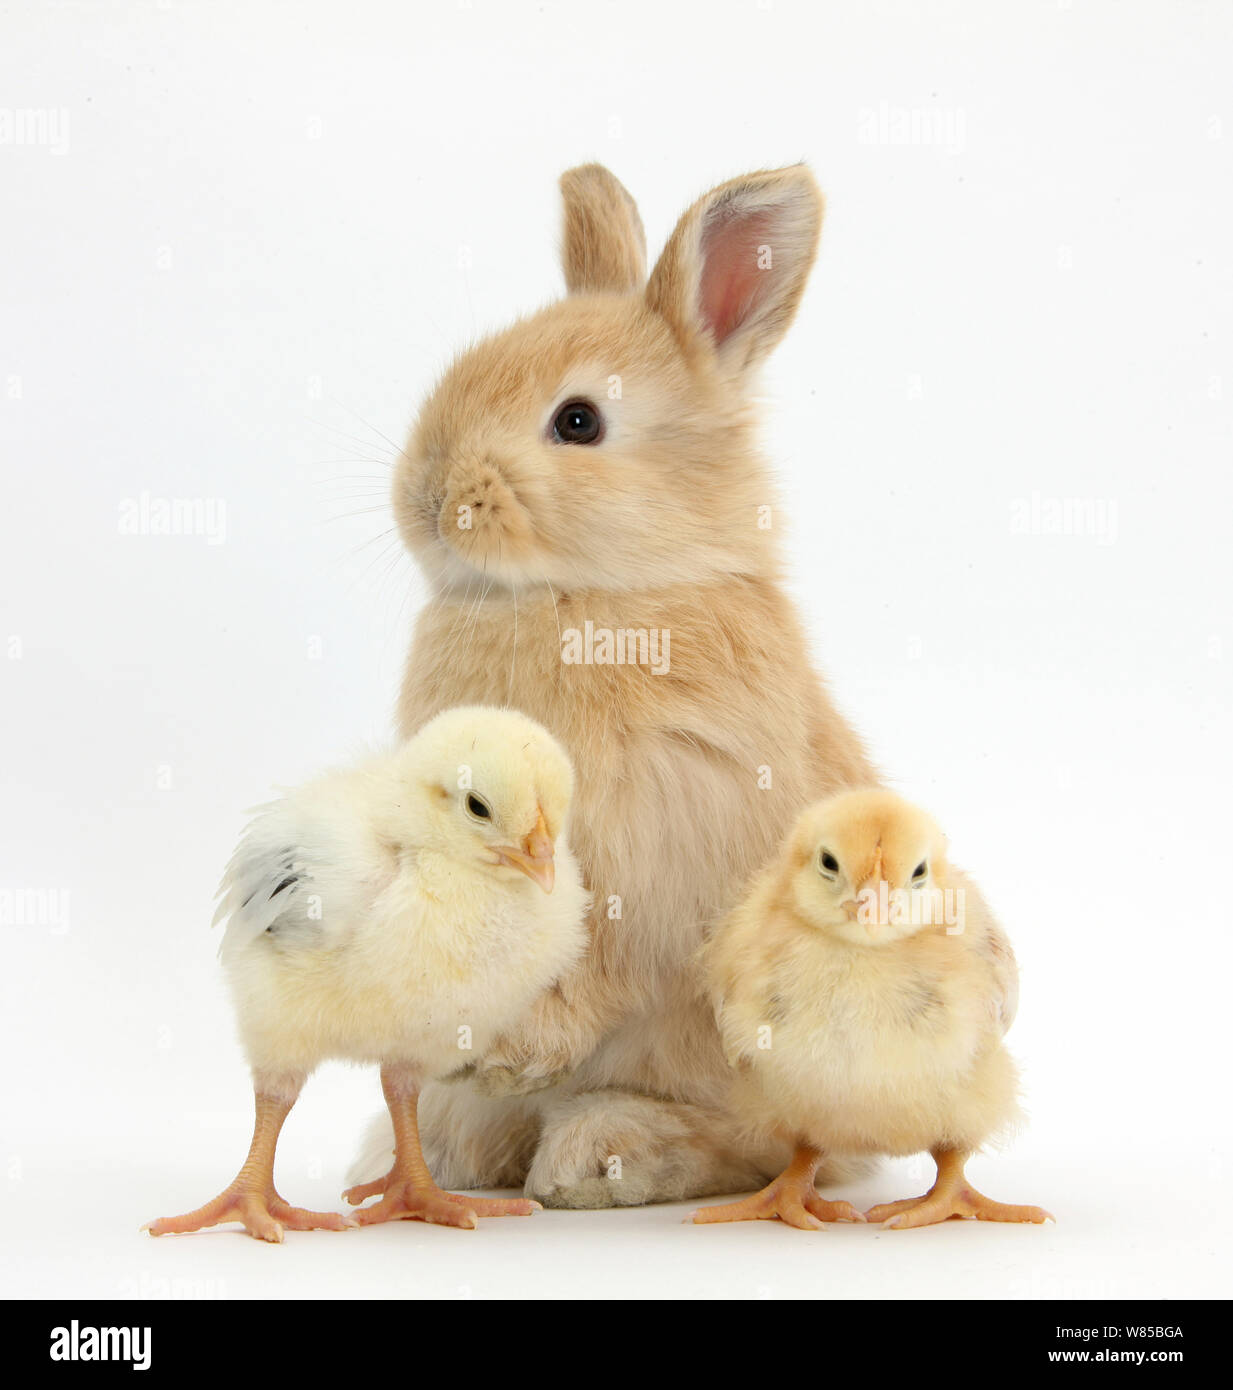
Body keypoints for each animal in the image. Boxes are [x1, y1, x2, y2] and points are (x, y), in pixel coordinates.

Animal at [350, 163, 879, 1208]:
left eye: (579, 421)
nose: (427, 496)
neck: (593, 595)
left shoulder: (658, 837)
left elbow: (603, 958)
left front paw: (516, 1050)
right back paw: (456, 1146)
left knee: (772, 1145)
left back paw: (601, 1151)